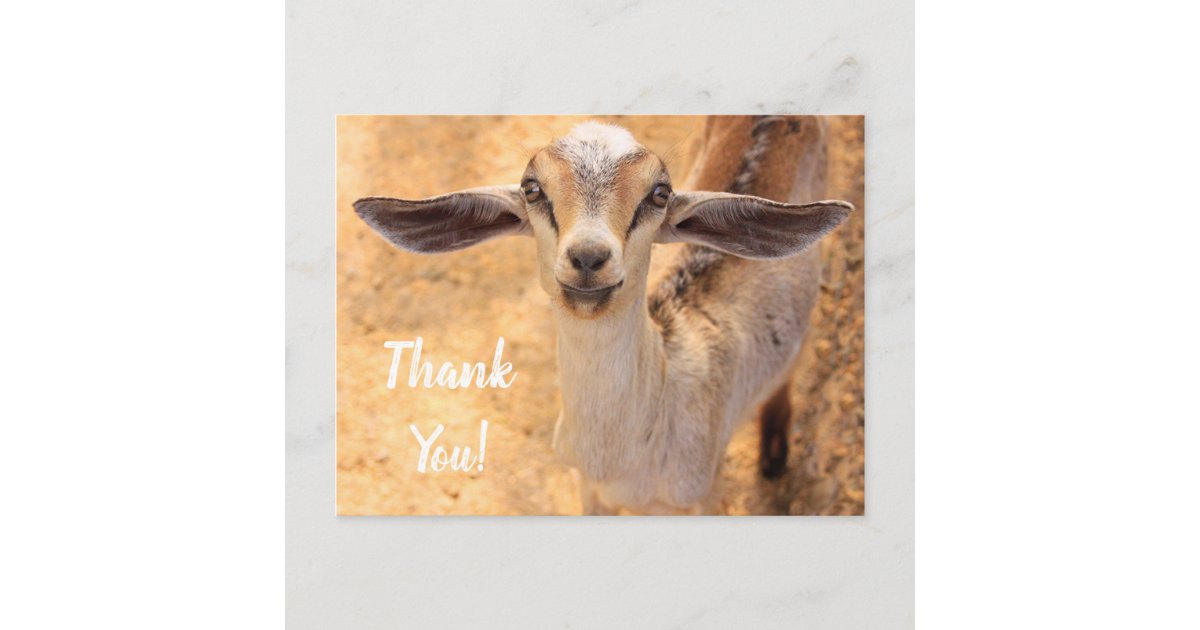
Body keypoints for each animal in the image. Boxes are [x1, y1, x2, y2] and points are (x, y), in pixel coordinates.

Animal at [354, 116, 852, 514]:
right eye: (532, 188)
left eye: (659, 192)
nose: (589, 257)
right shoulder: (586, 488)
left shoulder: (702, 492)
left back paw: (774, 456)